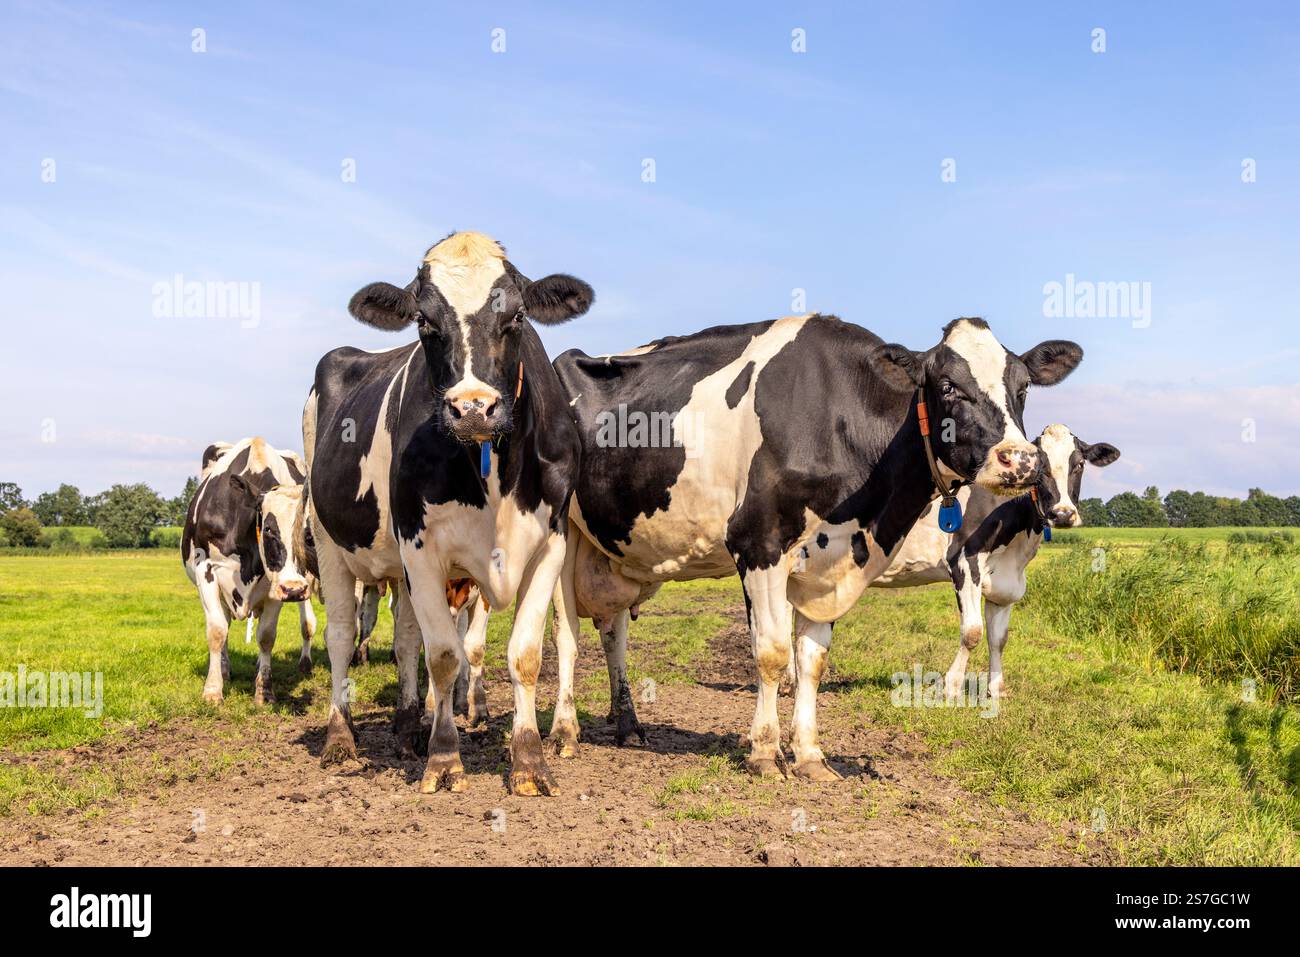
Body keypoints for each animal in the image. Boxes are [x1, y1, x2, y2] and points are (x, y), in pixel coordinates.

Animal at [181, 437, 316, 705]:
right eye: (269, 529)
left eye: (307, 533)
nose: (294, 590)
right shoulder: (206, 569)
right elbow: (217, 631)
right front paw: (213, 690)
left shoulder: (275, 585)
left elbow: (266, 636)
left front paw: (264, 690)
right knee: (223, 623)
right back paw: (223, 669)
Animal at [304, 230, 593, 795]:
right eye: (424, 321)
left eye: (517, 317)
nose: (473, 408)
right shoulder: (420, 545)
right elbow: (442, 656)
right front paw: (443, 758)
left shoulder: (550, 543)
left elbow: (525, 655)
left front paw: (529, 761)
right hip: (329, 541)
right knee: (342, 637)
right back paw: (340, 738)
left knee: (404, 640)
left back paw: (406, 729)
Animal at [550, 315, 1082, 780]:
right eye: (949, 385)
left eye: (1023, 387)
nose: (1020, 460)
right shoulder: (758, 543)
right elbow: (771, 652)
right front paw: (765, 754)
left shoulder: (830, 567)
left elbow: (811, 662)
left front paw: (809, 755)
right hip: (562, 537)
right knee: (567, 636)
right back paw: (563, 732)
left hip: (616, 552)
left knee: (614, 632)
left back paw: (629, 727)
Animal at [854, 423, 1120, 699]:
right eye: (1040, 467)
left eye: (1079, 464)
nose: (1063, 514)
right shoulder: (964, 561)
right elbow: (972, 632)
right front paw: (951, 686)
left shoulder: (1006, 585)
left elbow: (998, 639)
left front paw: (996, 688)